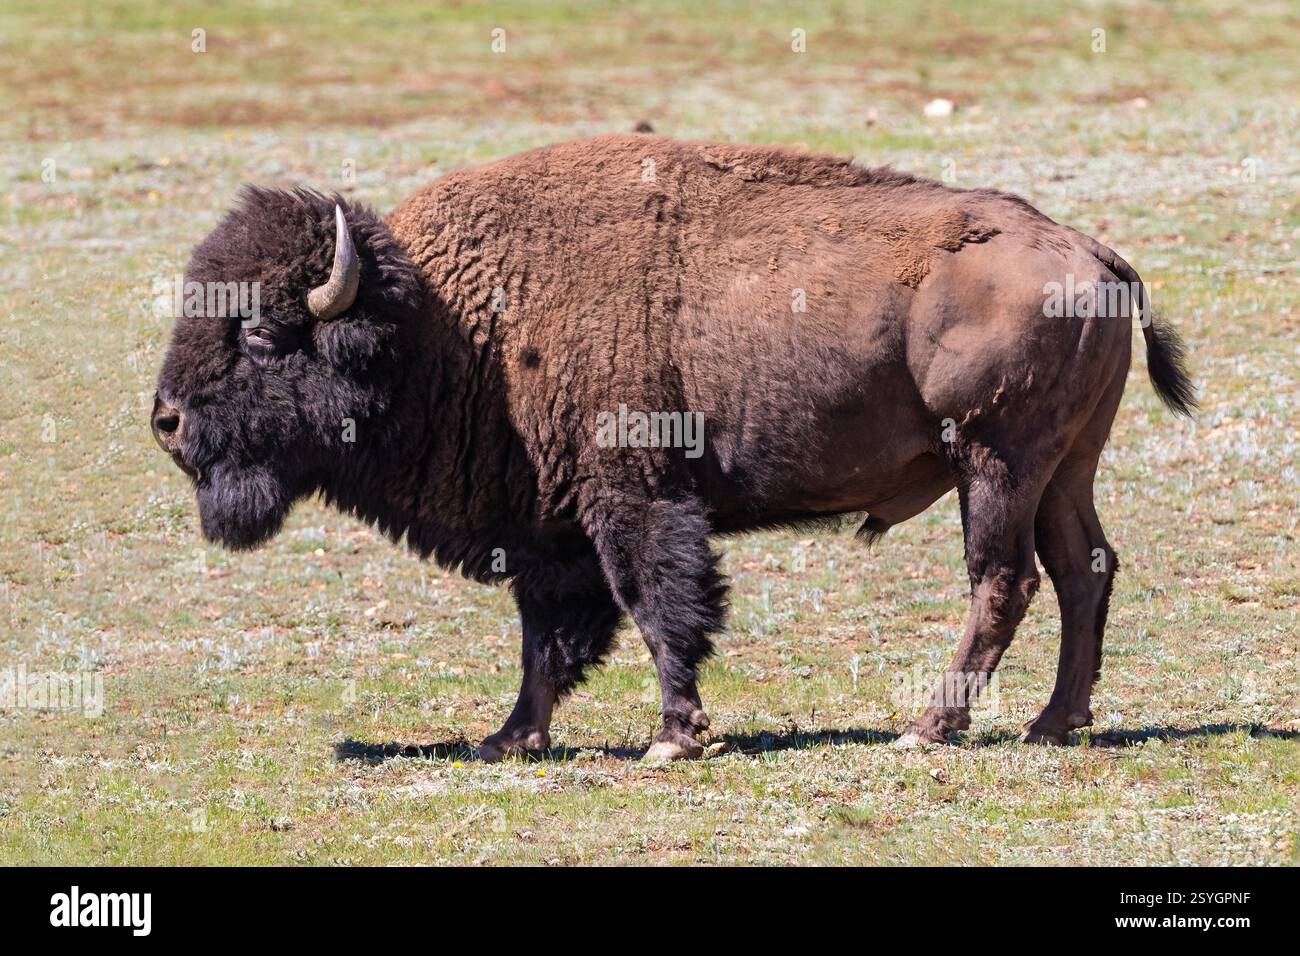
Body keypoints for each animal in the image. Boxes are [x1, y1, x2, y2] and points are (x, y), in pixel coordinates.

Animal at [153, 134, 1196, 760]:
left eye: (259, 333)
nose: (164, 422)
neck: (452, 325)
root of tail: (1092, 252)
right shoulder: (548, 528)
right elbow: (548, 639)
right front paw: (510, 739)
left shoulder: (634, 502)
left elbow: (660, 608)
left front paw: (674, 737)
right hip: (1064, 467)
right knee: (1084, 569)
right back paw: (1054, 724)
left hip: (995, 463)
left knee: (1004, 581)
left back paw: (930, 726)